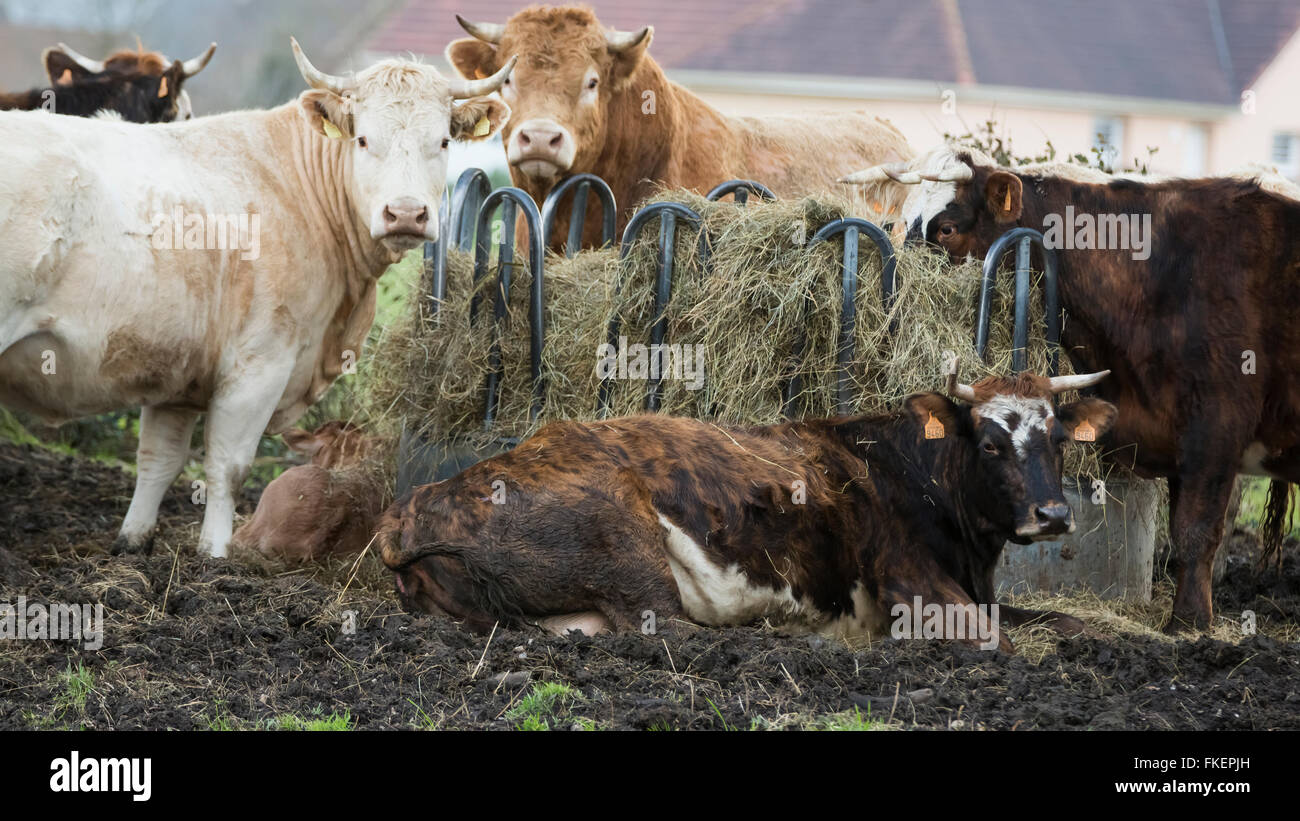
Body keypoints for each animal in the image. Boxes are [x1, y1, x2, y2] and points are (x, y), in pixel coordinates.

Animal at [377, 368, 1116, 652]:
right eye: (991, 442)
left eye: (1057, 438)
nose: (1053, 514)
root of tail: (408, 512)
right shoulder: (911, 583)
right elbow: (1001, 640)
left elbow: (1071, 621)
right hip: (631, 551)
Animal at [841, 146, 1300, 631]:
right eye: (898, 223)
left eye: (946, 228)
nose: (893, 308)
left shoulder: (1215, 430)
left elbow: (1196, 532)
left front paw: (1189, 623)